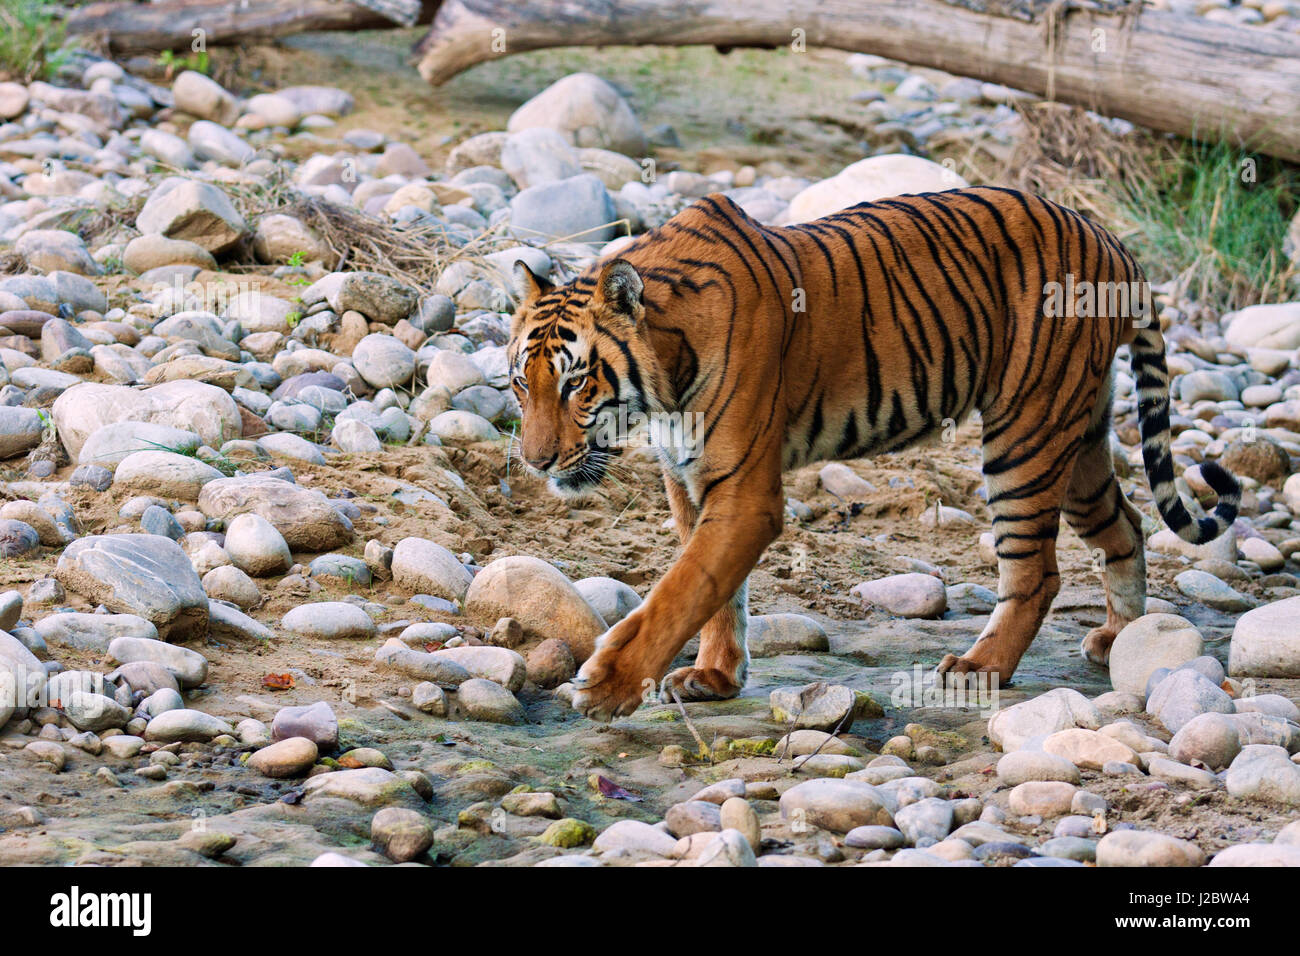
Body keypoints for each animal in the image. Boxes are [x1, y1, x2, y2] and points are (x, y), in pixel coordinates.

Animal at [506, 185, 1241, 722]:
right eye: (521, 383)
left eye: (576, 383)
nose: (536, 463)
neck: (665, 379)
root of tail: (1112, 243)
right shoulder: (688, 484)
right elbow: (714, 591)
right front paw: (715, 676)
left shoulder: (744, 493)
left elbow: (683, 589)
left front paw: (610, 684)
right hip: (1077, 435)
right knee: (1126, 525)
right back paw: (1120, 639)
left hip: (1023, 436)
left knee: (1039, 573)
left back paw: (980, 669)